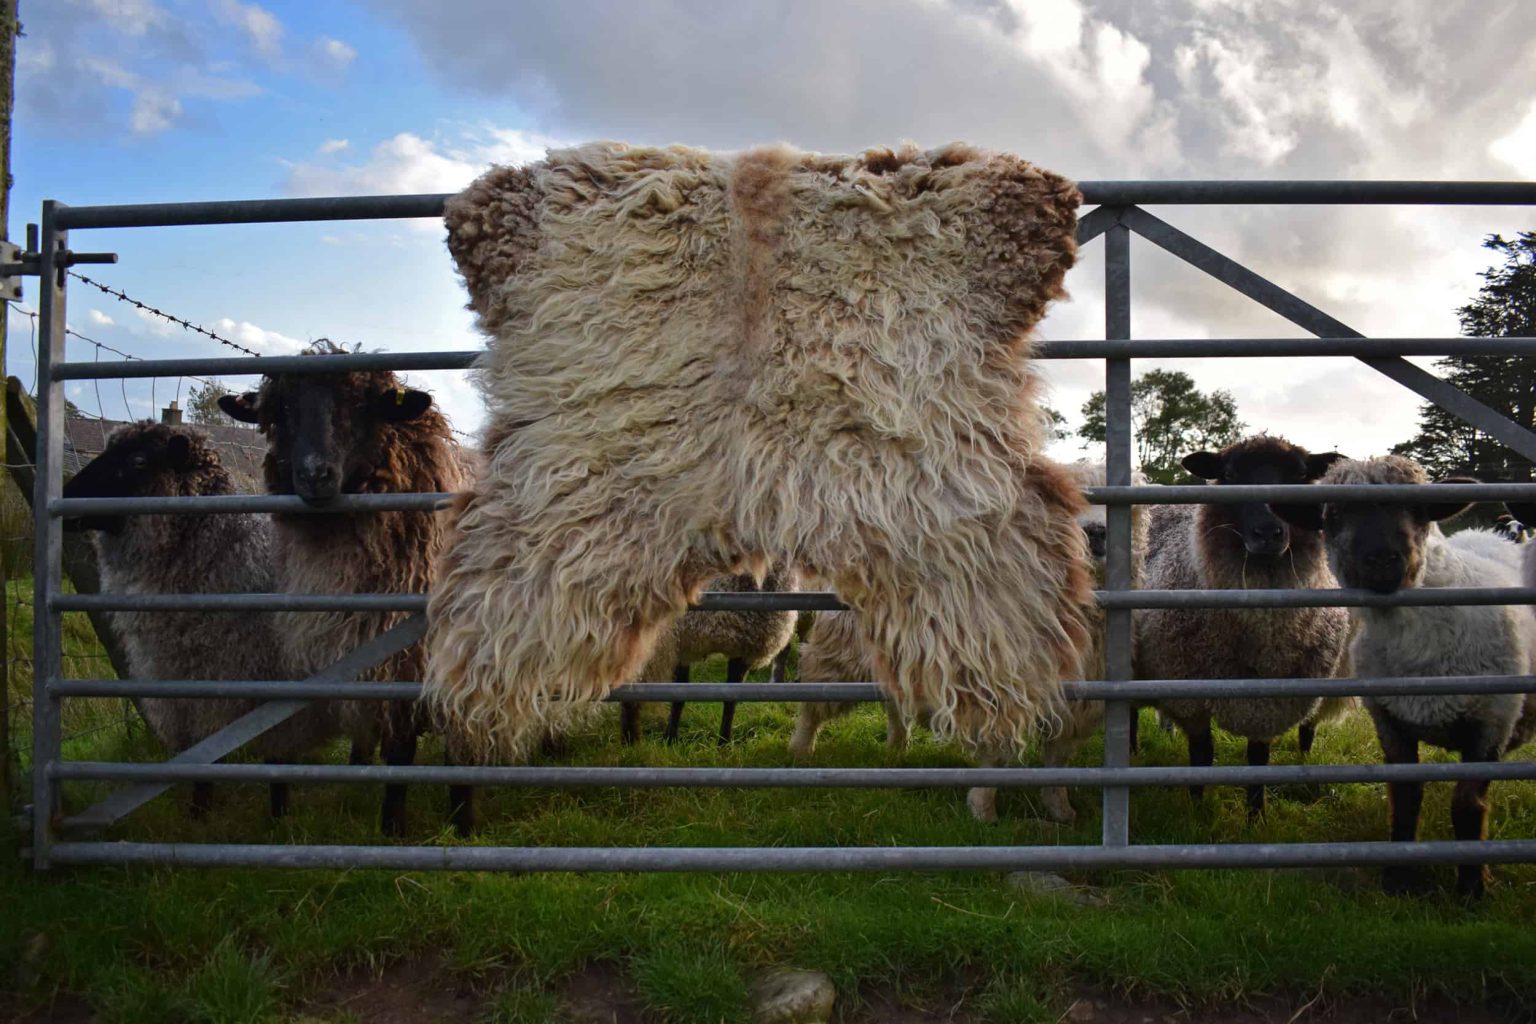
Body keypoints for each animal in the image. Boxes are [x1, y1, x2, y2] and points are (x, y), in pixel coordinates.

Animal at [60, 421, 338, 818]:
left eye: (138, 460)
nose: (66, 498)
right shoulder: (184, 691)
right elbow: (200, 758)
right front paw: (198, 815)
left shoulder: (276, 688)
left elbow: (277, 761)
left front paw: (279, 817)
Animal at [619, 565, 799, 746]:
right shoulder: (678, 642)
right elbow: (674, 695)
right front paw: (668, 738)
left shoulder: (741, 648)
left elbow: (730, 698)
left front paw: (723, 742)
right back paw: (630, 739)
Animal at [1138, 435, 1351, 820]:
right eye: (1230, 474)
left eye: (1300, 475)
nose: (1267, 533)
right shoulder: (1189, 694)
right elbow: (1202, 756)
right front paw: (1196, 813)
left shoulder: (1271, 703)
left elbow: (1257, 761)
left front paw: (1256, 819)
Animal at [1294, 458, 1536, 899]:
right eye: (1333, 514)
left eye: (1418, 509)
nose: (1382, 559)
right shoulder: (1389, 720)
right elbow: (1405, 798)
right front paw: (1397, 878)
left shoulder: (1492, 722)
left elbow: (1467, 808)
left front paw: (1471, 890)